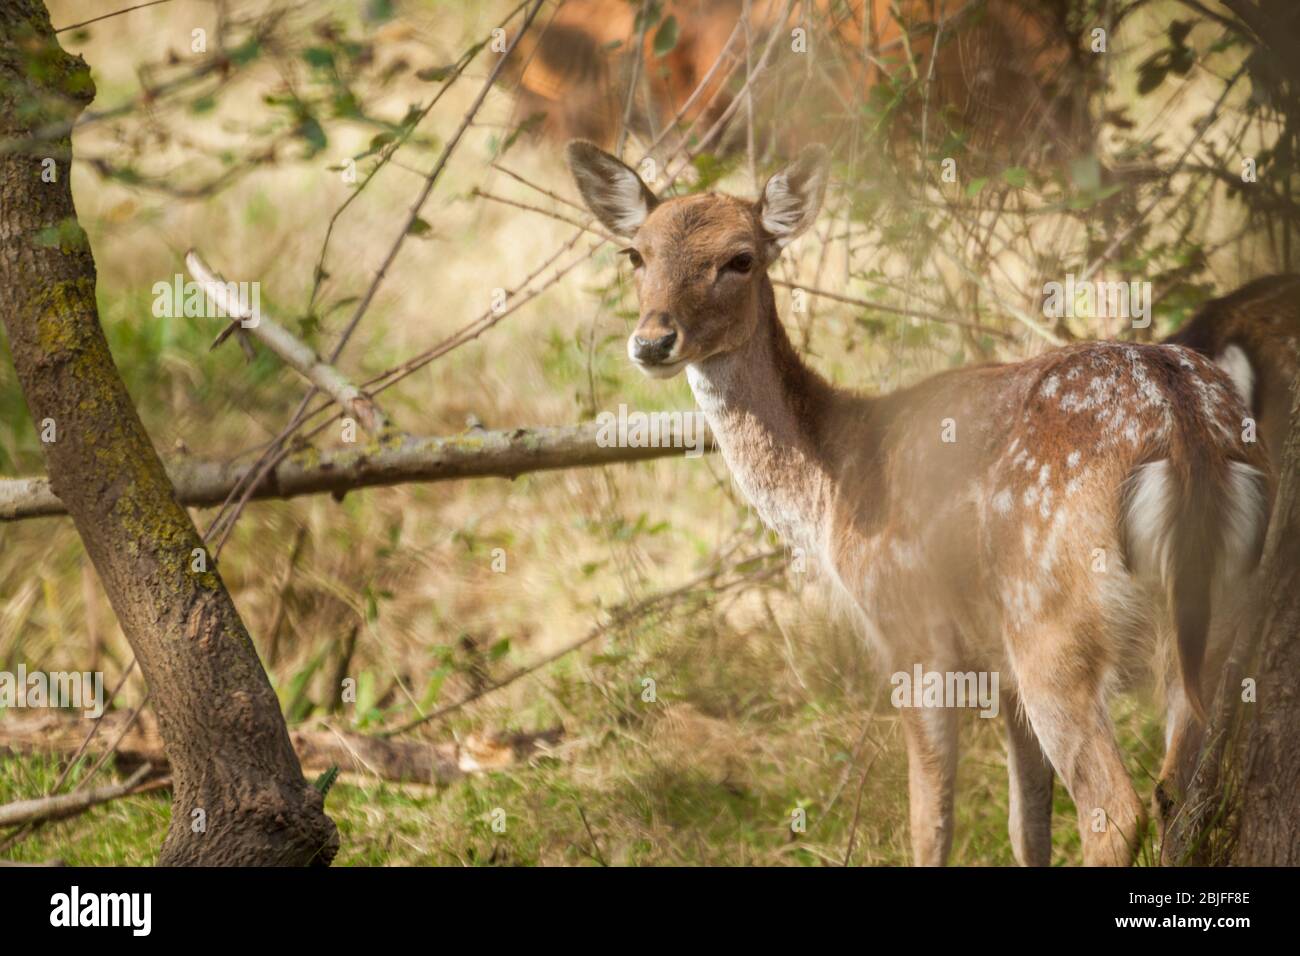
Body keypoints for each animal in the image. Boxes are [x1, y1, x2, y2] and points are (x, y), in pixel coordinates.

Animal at [564, 140, 1272, 866]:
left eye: (741, 258)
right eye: (635, 254)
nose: (652, 341)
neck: (832, 481)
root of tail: (1184, 419)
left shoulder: (911, 627)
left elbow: (930, 820)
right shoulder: (996, 665)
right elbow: (1025, 824)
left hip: (1049, 615)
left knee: (1116, 808)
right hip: (1228, 609)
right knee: (1178, 791)